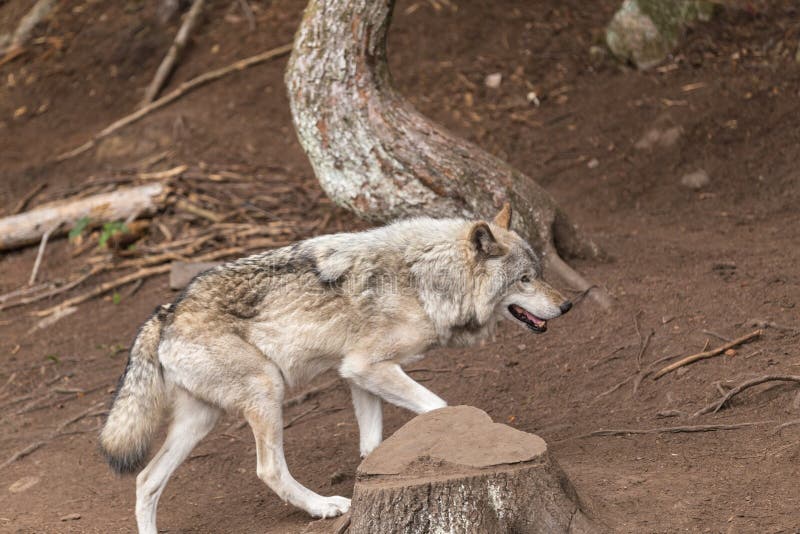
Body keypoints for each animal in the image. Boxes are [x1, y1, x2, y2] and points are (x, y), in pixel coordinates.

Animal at [99, 204, 573, 533]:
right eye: (525, 279)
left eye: (539, 273)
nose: (567, 304)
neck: (423, 279)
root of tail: (165, 312)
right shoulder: (367, 366)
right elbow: (440, 407)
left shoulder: (356, 374)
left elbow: (372, 445)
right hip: (266, 389)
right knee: (268, 470)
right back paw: (324, 506)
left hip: (201, 420)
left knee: (145, 481)